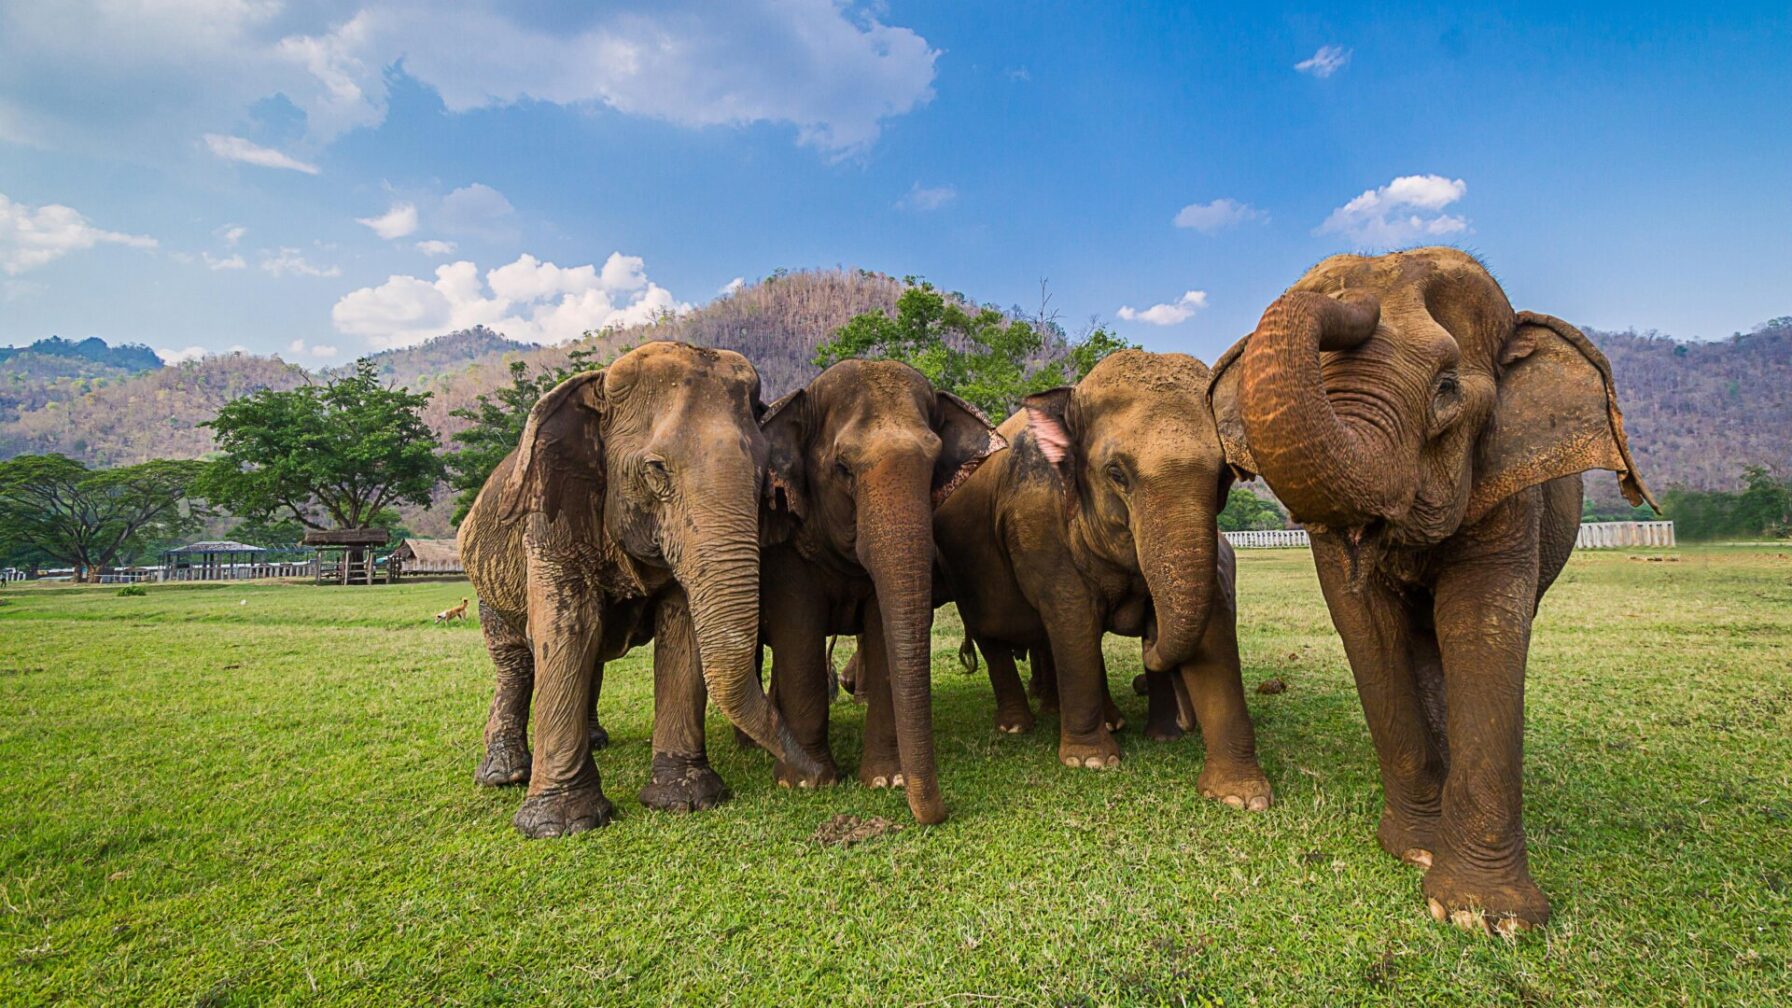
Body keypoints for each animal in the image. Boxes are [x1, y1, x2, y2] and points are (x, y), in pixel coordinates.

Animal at [458, 341, 821, 838]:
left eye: (764, 472)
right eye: (656, 470)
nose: (820, 776)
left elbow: (681, 631)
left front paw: (685, 801)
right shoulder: (552, 519)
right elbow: (566, 630)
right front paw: (562, 825)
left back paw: (595, 741)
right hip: (487, 585)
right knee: (515, 663)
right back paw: (503, 775)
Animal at [755, 359, 1003, 825]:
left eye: (934, 465)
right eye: (843, 468)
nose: (940, 812)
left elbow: (883, 630)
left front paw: (888, 781)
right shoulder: (787, 546)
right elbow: (798, 631)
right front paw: (805, 783)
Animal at [932, 349, 1271, 810]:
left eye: (1223, 475)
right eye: (1116, 473)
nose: (1147, 653)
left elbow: (1213, 626)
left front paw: (1241, 796)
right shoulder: (1038, 522)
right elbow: (1072, 617)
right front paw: (1091, 761)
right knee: (996, 636)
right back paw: (1020, 726)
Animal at [1207, 247, 1654, 933]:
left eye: (1447, 388)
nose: (1352, 292)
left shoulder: (1507, 487)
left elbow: (1481, 623)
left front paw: (1486, 916)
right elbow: (1365, 623)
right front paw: (1414, 850)